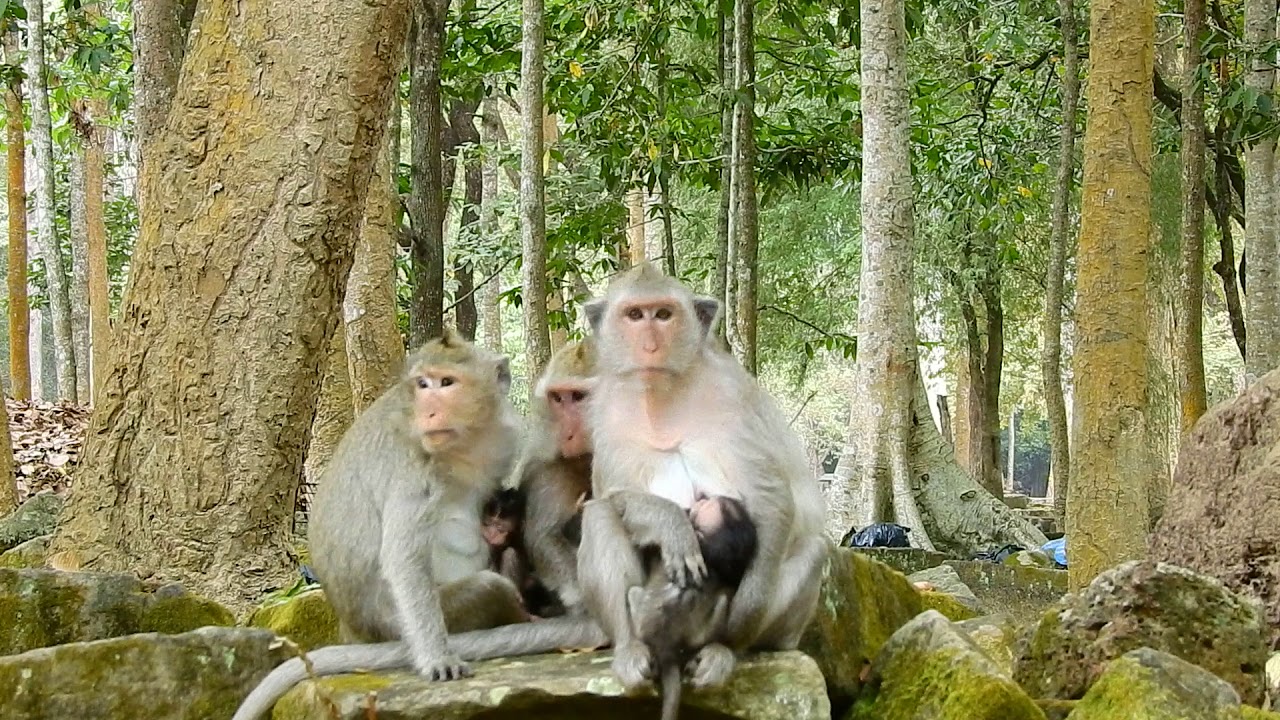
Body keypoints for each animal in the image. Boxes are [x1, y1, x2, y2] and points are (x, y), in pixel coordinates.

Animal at [576, 262, 830, 692]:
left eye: (663, 315)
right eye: (635, 315)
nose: (650, 345)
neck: (662, 395)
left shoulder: (731, 396)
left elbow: (771, 496)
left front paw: (743, 616)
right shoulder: (605, 411)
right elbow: (611, 494)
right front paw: (671, 525)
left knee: (814, 549)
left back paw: (725, 650)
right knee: (599, 516)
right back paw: (630, 649)